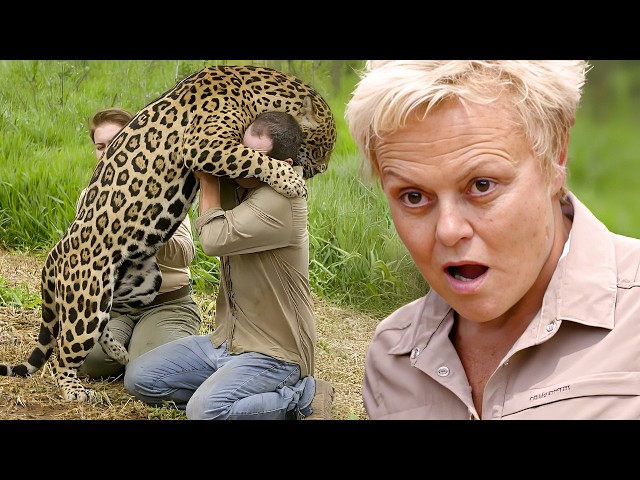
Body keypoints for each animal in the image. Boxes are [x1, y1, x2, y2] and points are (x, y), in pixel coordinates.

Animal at [0, 64, 337, 402]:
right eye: (324, 147)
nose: (320, 170)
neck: (252, 91)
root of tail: (56, 252)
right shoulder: (206, 145)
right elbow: (256, 158)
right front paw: (292, 181)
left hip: (142, 284)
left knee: (109, 317)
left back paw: (118, 351)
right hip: (87, 301)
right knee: (64, 354)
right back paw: (74, 390)